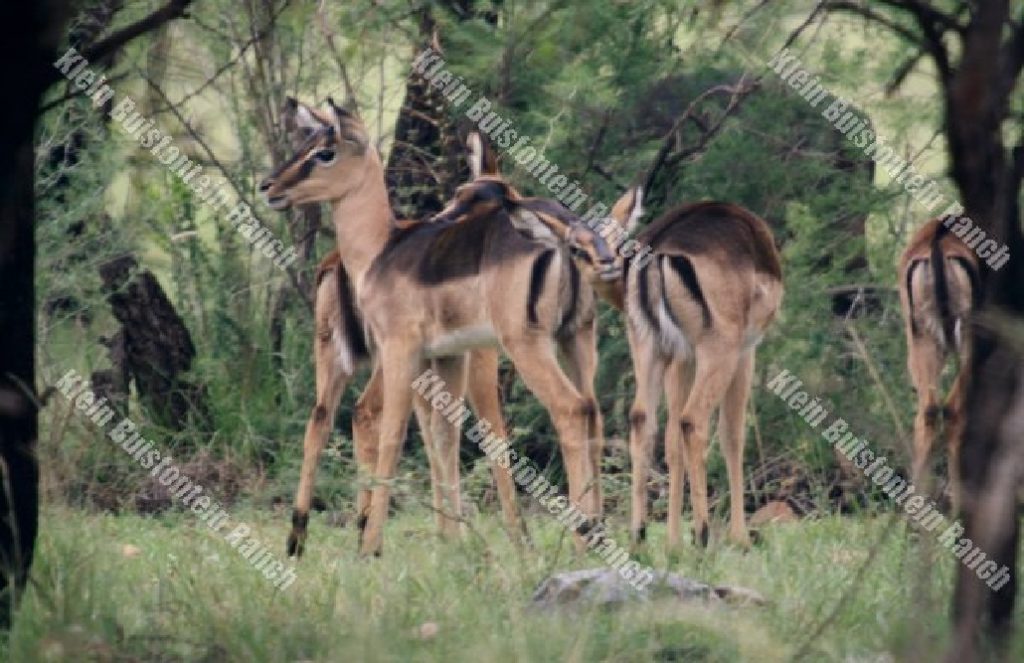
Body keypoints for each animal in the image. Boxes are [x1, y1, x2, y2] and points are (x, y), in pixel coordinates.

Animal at [262, 99, 629, 556]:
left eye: (325, 151)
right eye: (306, 143)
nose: (269, 186)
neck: (380, 252)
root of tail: (563, 241)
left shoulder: (404, 350)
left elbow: (397, 436)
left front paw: (373, 546)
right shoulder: (448, 356)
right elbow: (444, 434)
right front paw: (454, 543)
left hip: (525, 346)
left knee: (571, 409)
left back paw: (580, 539)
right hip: (575, 338)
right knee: (592, 411)